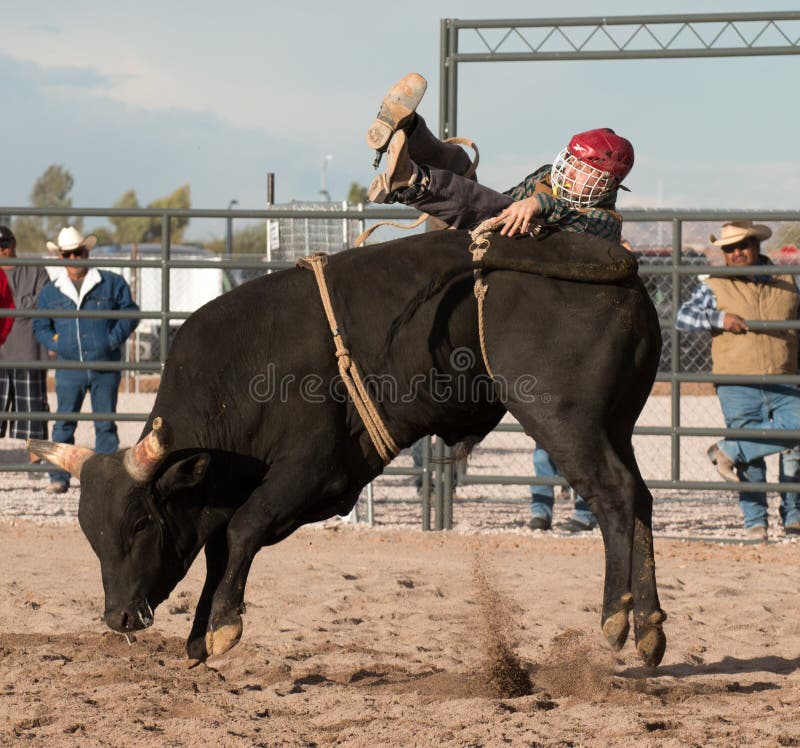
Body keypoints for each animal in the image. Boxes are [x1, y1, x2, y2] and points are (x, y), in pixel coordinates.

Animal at [29, 228, 666, 668]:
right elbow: (219, 545)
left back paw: (615, 618)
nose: (117, 617)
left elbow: (241, 530)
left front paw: (224, 625)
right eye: (90, 531)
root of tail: (612, 259)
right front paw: (199, 634)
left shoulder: (312, 472)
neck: (241, 377)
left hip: (563, 417)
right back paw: (651, 628)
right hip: (615, 423)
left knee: (612, 495)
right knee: (639, 499)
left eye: (140, 523)